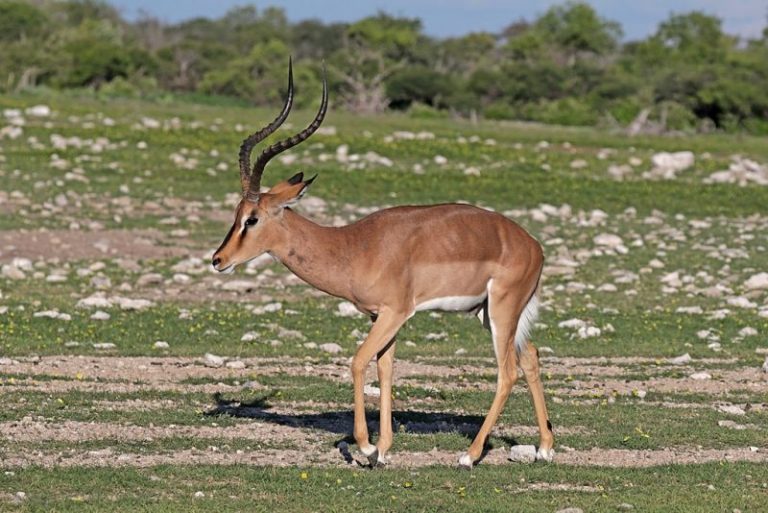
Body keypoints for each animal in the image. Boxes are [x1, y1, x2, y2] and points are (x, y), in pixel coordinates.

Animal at [211, 61, 554, 468]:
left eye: (251, 219)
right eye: (236, 213)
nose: (218, 260)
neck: (353, 246)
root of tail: (532, 245)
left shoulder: (395, 312)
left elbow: (359, 361)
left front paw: (365, 446)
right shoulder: (381, 316)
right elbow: (385, 368)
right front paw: (384, 450)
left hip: (502, 312)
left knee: (507, 372)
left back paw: (470, 456)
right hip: (491, 313)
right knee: (530, 357)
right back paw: (545, 447)